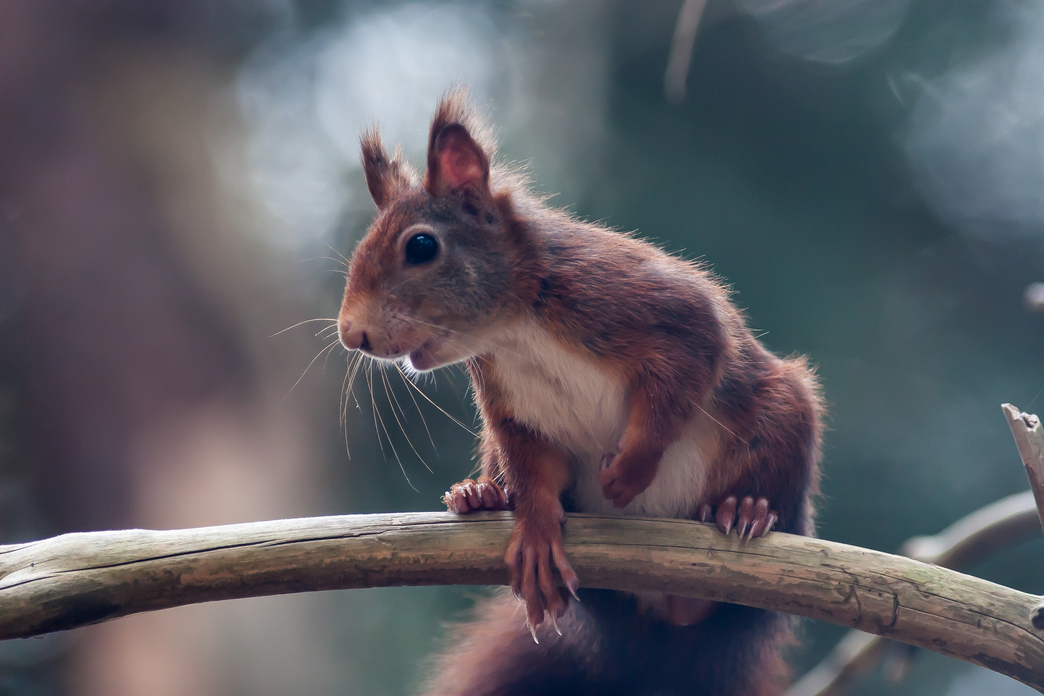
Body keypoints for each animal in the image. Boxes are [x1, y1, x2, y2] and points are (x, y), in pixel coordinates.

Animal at [338, 90, 823, 696]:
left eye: (421, 246)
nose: (350, 333)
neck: (513, 329)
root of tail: (654, 649)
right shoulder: (512, 411)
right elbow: (532, 470)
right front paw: (537, 532)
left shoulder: (647, 307)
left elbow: (683, 374)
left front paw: (632, 470)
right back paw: (480, 495)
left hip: (783, 417)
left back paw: (745, 510)